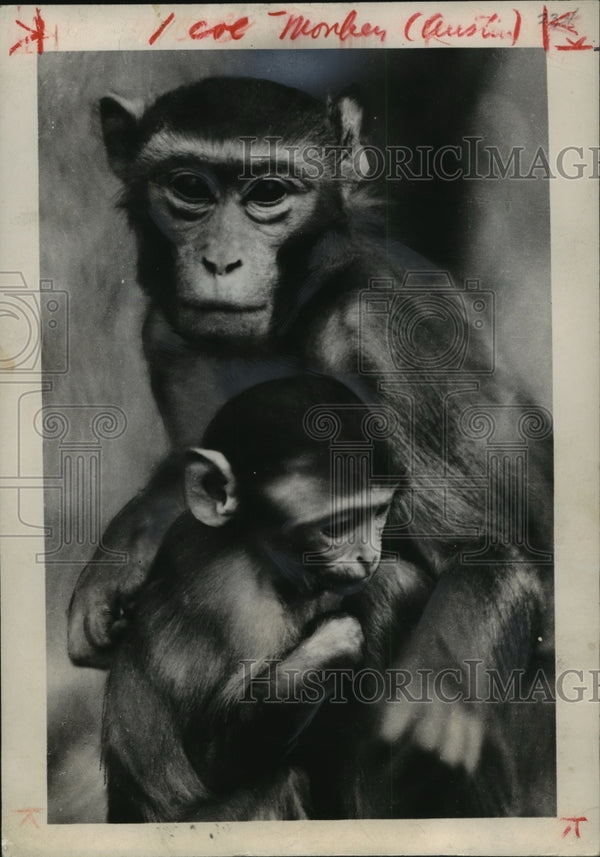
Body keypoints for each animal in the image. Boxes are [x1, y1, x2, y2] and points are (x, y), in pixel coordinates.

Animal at [102, 375, 432, 822]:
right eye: (337, 527)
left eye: (377, 513)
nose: (367, 555)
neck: (257, 551)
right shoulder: (243, 610)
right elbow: (216, 757)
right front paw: (336, 637)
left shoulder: (181, 533)